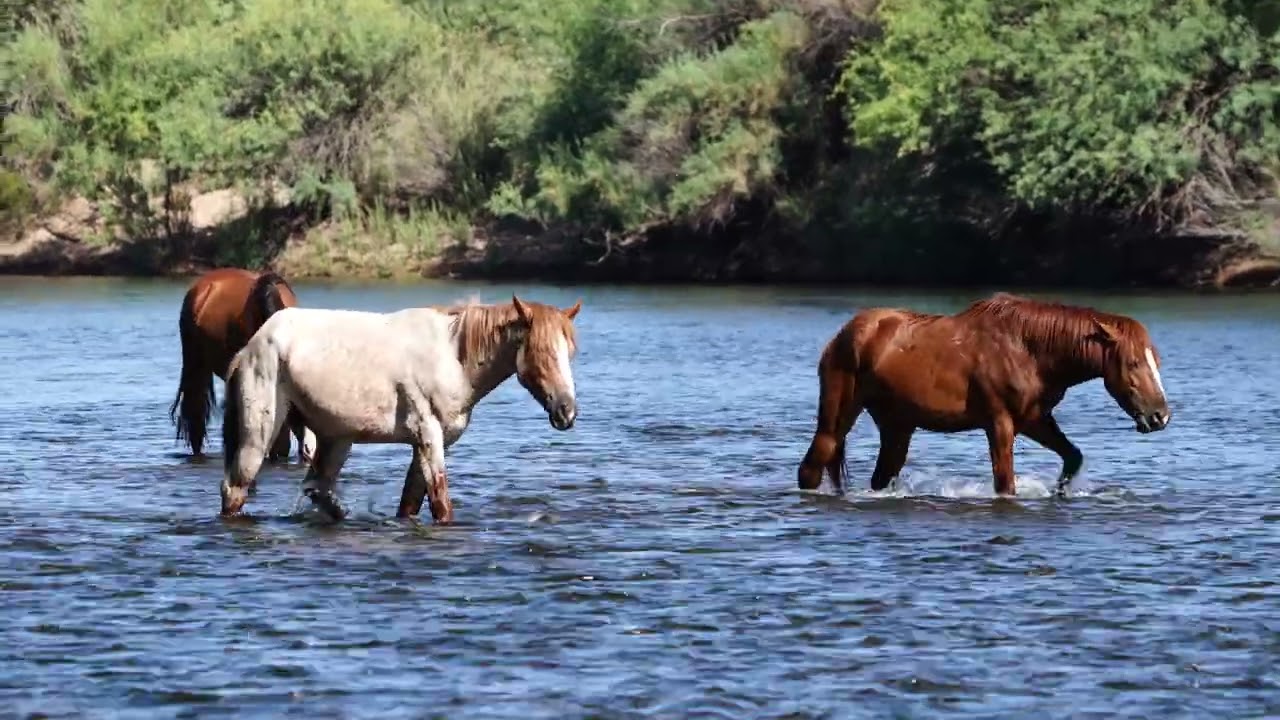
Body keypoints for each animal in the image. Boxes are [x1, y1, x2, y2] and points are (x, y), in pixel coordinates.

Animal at [218, 295, 583, 522]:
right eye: (542, 352)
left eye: (568, 352)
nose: (566, 411)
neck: (452, 357)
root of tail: (250, 347)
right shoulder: (429, 437)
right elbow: (440, 504)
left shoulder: (426, 445)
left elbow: (410, 503)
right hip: (258, 438)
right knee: (235, 489)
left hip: (336, 439)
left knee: (316, 489)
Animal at [797, 292, 1171, 498]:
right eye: (1133, 362)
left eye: (1156, 360)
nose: (1160, 416)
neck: (1030, 351)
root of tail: (841, 337)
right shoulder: (1000, 423)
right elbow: (1005, 484)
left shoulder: (1034, 419)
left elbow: (1072, 457)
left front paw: (1060, 491)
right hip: (837, 418)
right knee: (811, 468)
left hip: (897, 426)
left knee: (880, 477)